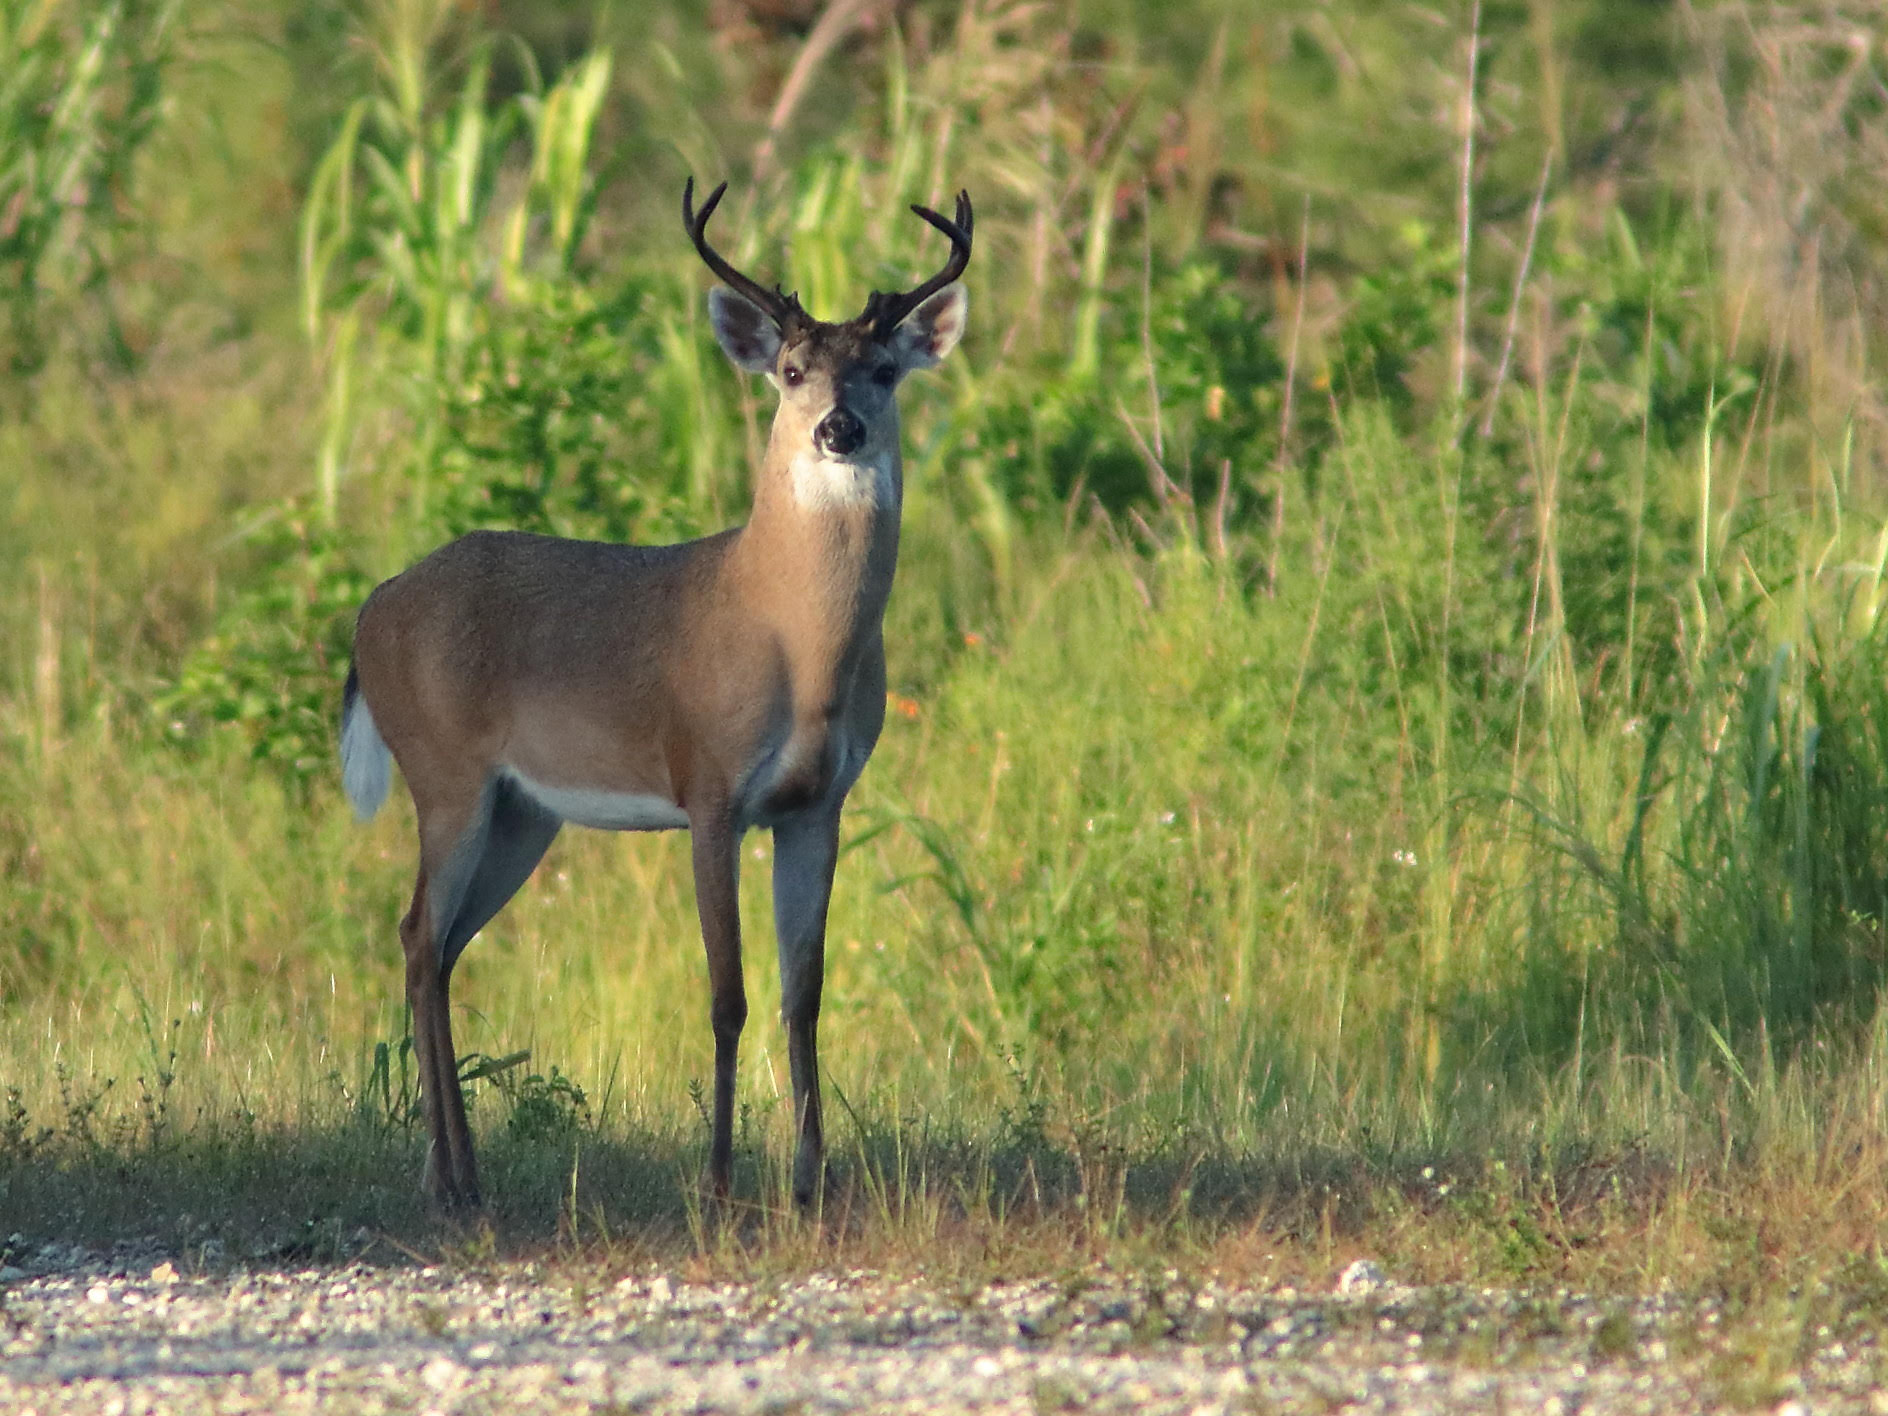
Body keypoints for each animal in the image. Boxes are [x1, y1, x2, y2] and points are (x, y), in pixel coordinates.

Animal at [338, 179, 971, 1210]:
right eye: (792, 369)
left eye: (883, 368)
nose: (839, 429)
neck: (788, 633)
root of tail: (373, 606)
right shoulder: (708, 784)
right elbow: (728, 995)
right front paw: (717, 1181)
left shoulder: (819, 803)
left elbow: (805, 994)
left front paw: (812, 1181)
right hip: (444, 774)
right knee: (418, 934)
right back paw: (447, 1177)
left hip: (523, 812)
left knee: (438, 945)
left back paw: (461, 1168)